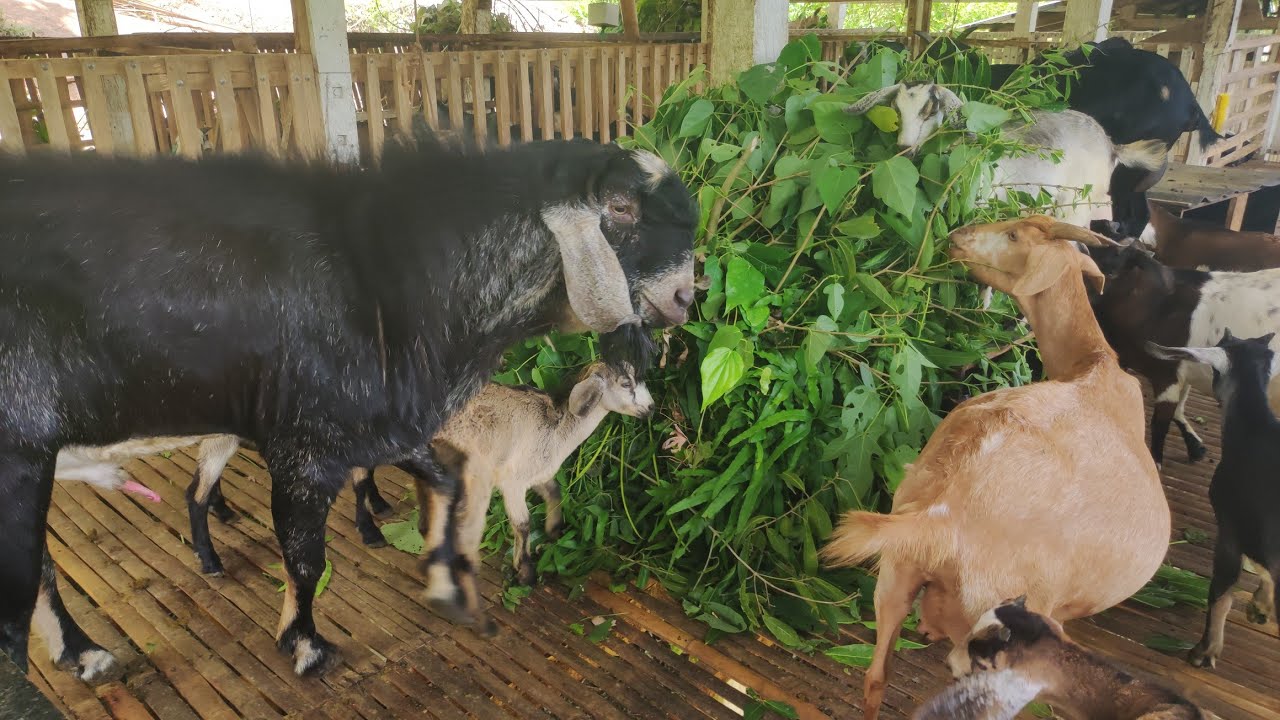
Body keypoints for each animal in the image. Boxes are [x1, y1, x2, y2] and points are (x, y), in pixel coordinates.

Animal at [413, 361, 653, 624]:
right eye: (626, 383)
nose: (651, 408)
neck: (557, 431)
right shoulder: (512, 481)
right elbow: (523, 523)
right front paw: (525, 573)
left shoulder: (537, 473)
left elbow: (554, 491)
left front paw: (554, 530)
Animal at [823, 215, 1170, 720]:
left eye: (1013, 236)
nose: (955, 237)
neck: (1093, 365)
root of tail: (946, 507)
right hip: (991, 626)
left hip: (896, 572)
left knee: (876, 676)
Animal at [1086, 243, 1280, 466]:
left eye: (1110, 271)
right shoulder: (1184, 365)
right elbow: (1179, 405)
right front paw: (1195, 446)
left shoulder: (1167, 372)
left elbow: (1161, 421)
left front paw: (1157, 461)